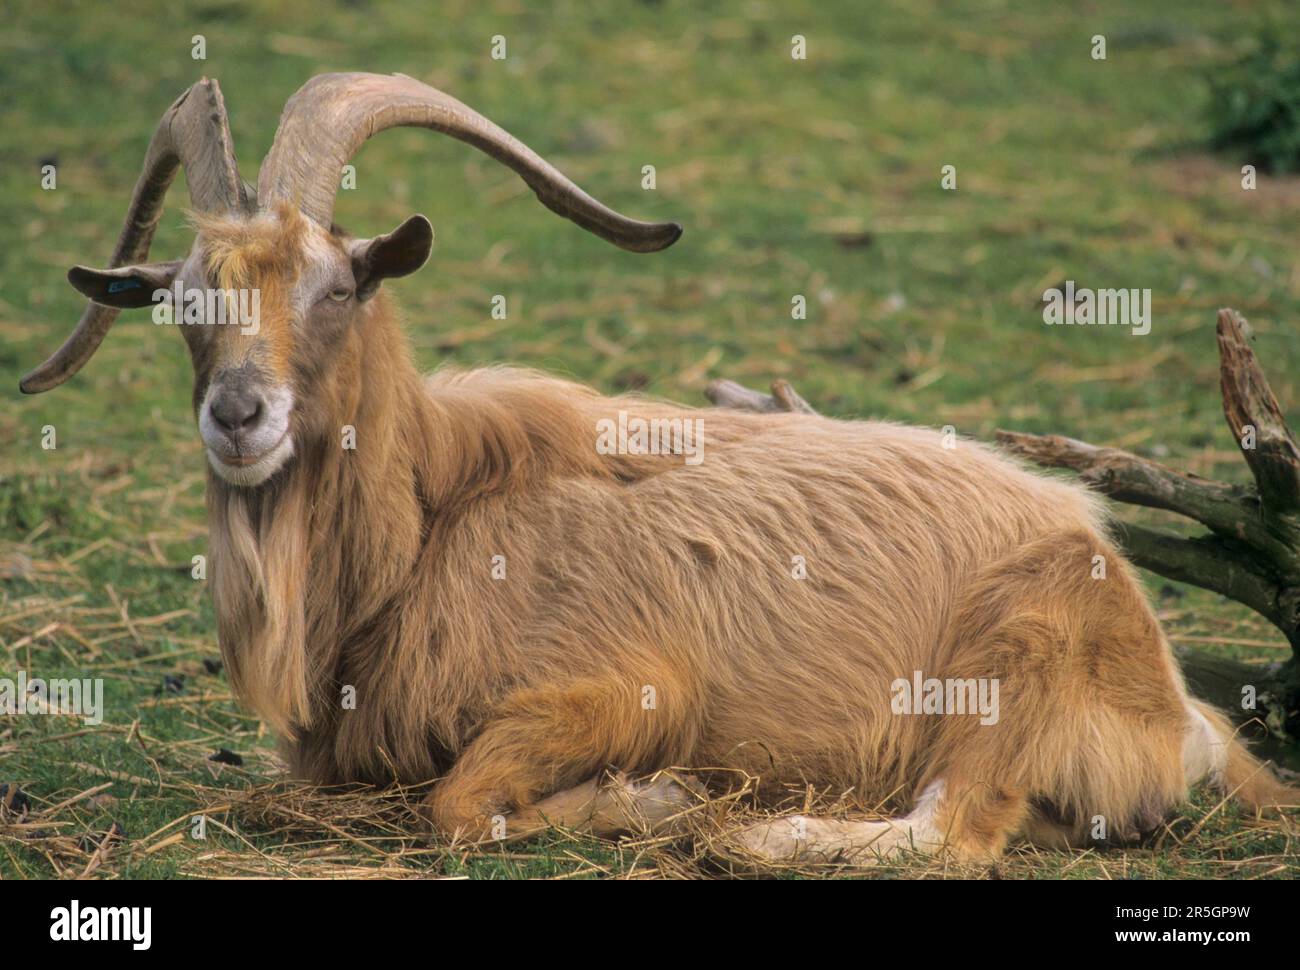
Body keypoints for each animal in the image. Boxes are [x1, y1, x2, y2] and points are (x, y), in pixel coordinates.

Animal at [23, 73, 1294, 864]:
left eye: (338, 285)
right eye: (185, 304)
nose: (240, 415)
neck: (435, 517)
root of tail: (1166, 688)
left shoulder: (625, 684)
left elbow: (459, 799)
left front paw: (650, 797)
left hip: (1008, 668)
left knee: (956, 830)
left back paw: (749, 832)